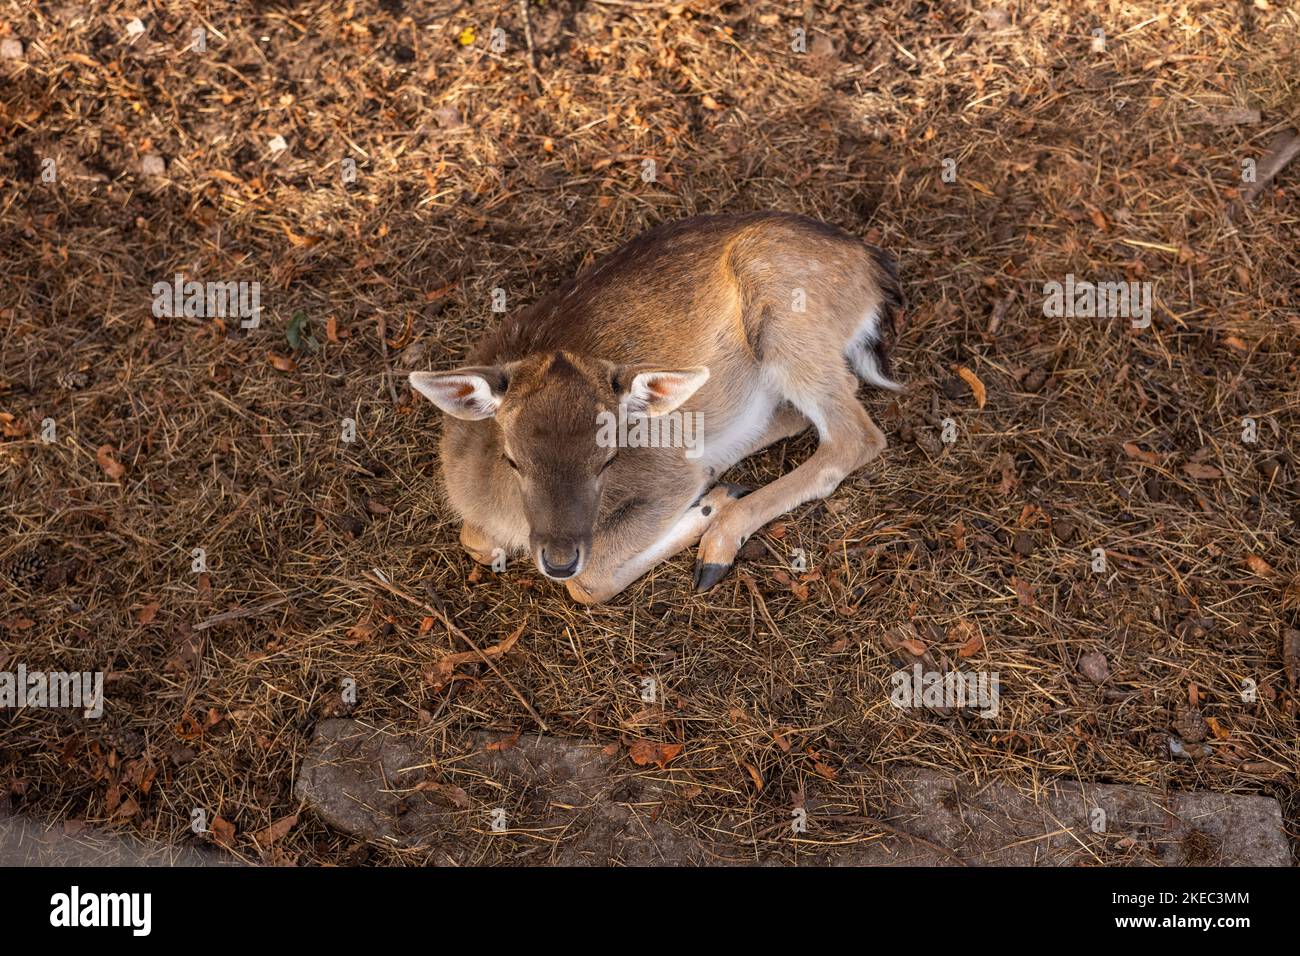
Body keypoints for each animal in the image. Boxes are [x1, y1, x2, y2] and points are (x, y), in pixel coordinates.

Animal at [410, 211, 902, 604]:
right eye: (513, 460)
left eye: (607, 460)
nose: (559, 559)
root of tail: (872, 270)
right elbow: (474, 540)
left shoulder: (664, 479)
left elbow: (589, 581)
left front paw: (706, 508)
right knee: (805, 412)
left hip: (790, 319)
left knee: (856, 435)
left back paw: (717, 542)